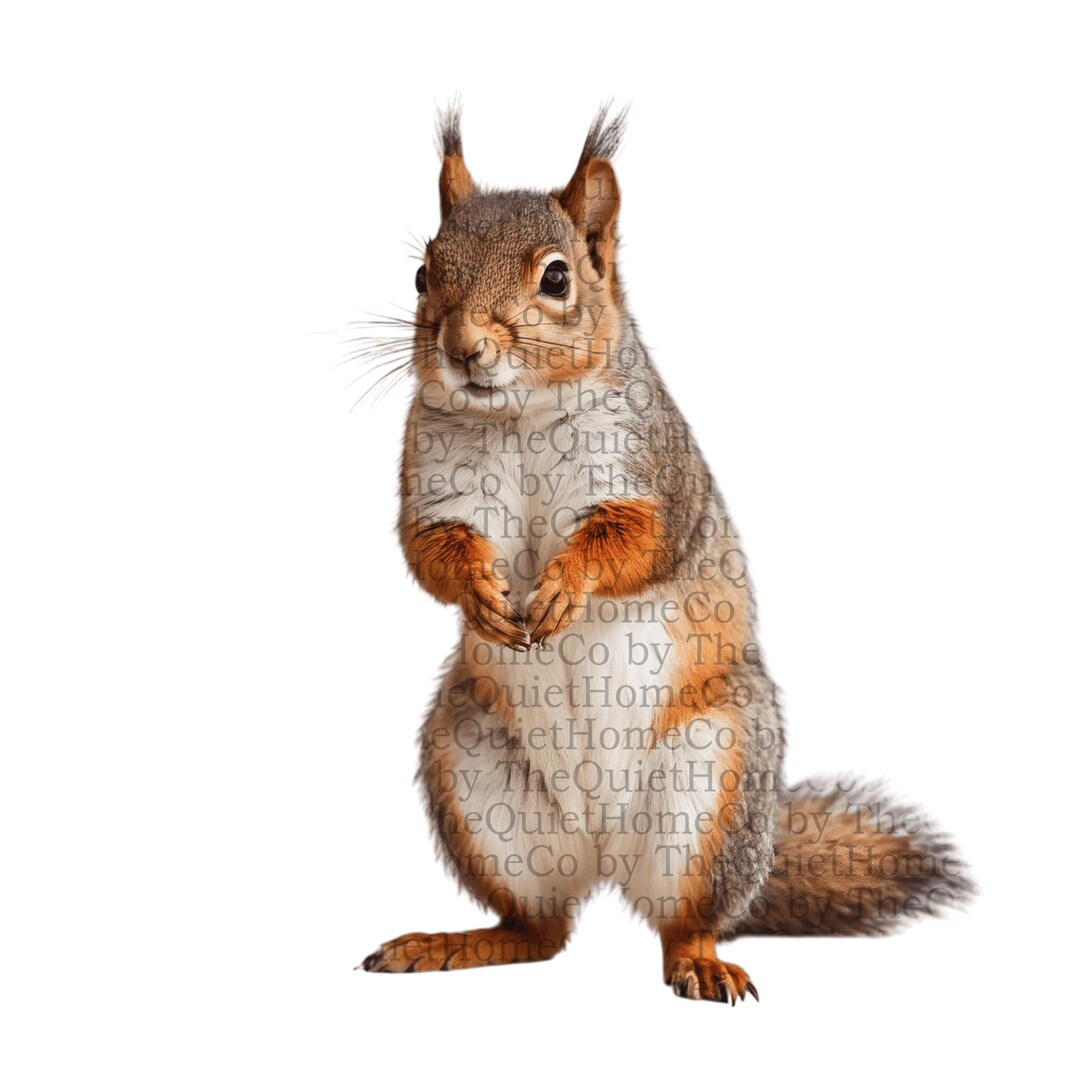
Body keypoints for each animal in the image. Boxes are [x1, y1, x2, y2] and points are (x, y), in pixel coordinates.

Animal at [359, 103, 972, 1003]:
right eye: (421, 275)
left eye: (556, 280)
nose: (464, 348)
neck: (518, 416)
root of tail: (602, 853)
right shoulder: (435, 481)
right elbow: (429, 550)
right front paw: (480, 592)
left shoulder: (654, 472)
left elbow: (636, 541)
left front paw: (563, 585)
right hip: (476, 777)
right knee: (540, 930)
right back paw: (453, 943)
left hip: (713, 782)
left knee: (681, 920)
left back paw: (701, 962)